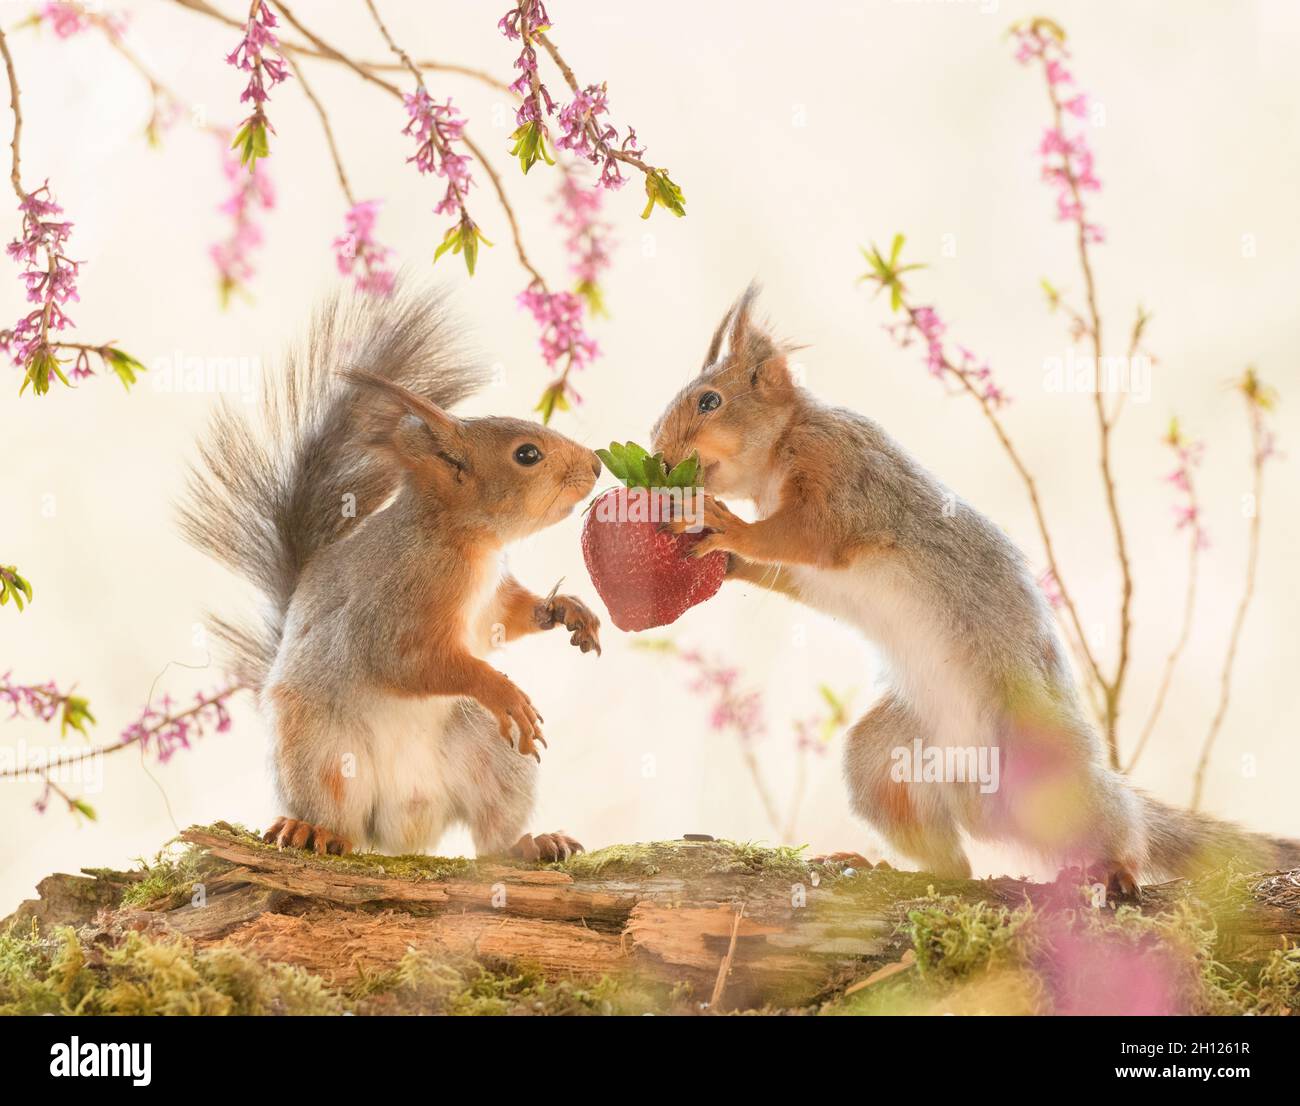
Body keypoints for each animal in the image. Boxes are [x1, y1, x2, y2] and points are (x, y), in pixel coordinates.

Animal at [180, 285, 603, 861]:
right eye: (527, 454)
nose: (598, 465)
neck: (466, 540)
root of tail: (403, 829)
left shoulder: (490, 600)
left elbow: (510, 616)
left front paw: (564, 608)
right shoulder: (403, 598)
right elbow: (408, 660)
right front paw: (501, 689)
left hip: (492, 754)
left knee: (491, 839)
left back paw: (531, 844)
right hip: (320, 749)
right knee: (338, 814)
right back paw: (311, 830)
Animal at [652, 284, 1298, 896]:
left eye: (710, 401)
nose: (658, 455)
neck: (781, 447)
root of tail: (980, 795)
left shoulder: (844, 476)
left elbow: (806, 536)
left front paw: (726, 525)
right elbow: (790, 570)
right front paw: (728, 558)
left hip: (1047, 752)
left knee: (1112, 820)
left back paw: (1118, 866)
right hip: (887, 762)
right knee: (952, 859)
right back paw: (889, 864)